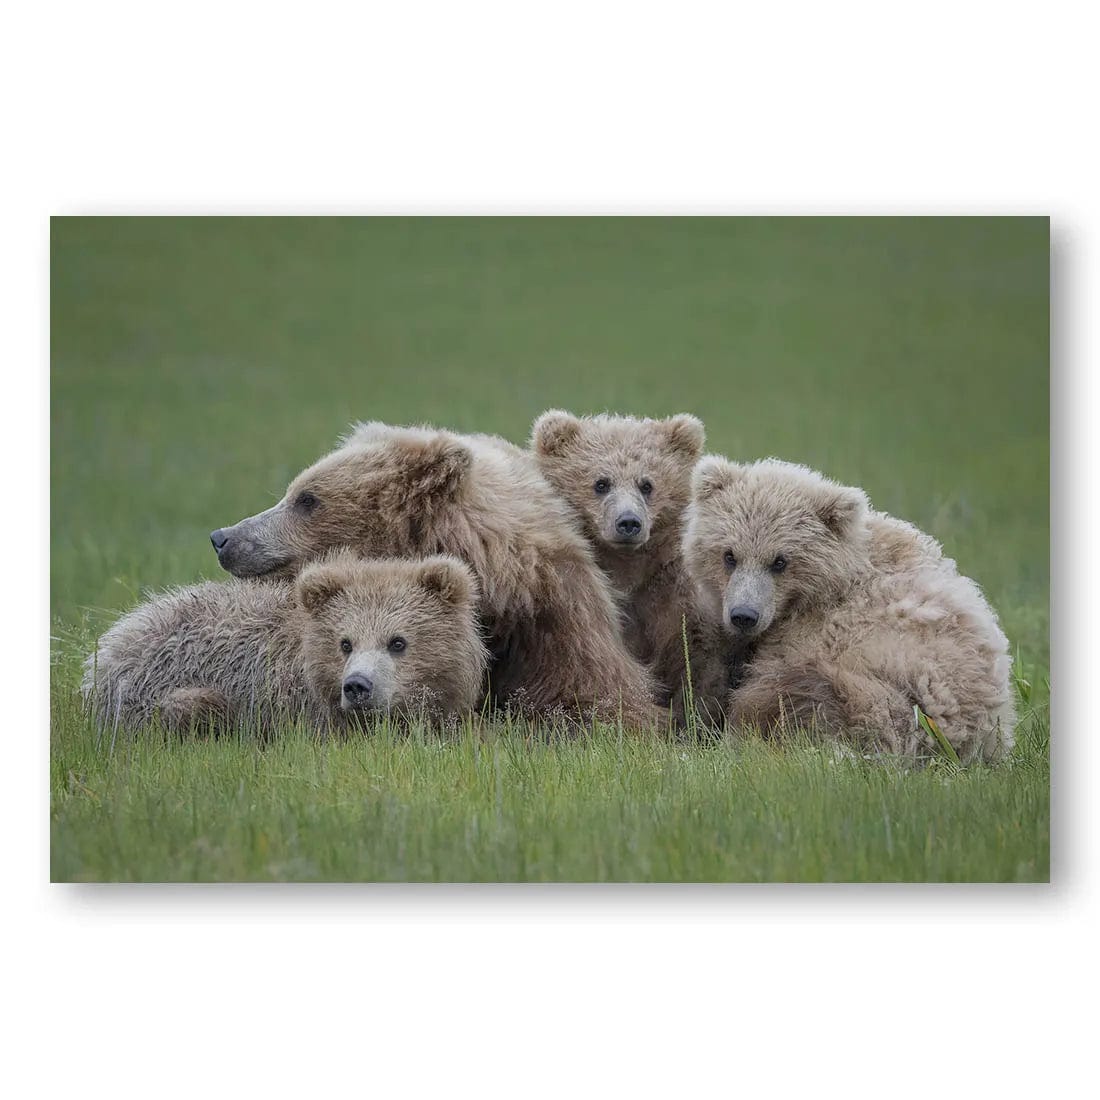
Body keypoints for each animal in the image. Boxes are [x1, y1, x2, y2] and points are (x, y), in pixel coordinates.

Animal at [530, 410, 729, 725]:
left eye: (647, 484)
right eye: (601, 483)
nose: (628, 522)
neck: (627, 570)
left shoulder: (668, 593)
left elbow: (692, 656)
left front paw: (691, 716)